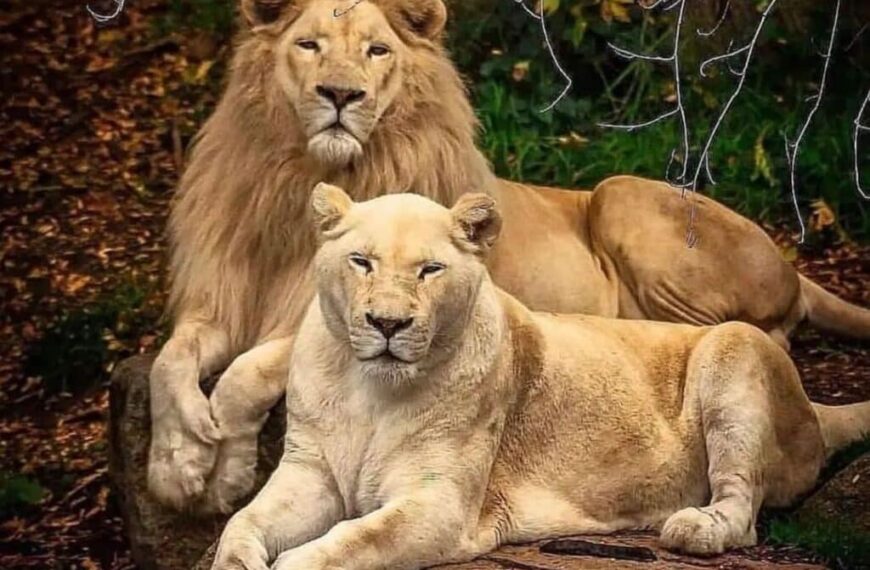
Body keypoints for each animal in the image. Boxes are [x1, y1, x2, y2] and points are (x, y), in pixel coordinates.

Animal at [148, 0, 870, 514]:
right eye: (309, 45)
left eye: (377, 50)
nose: (340, 95)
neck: (301, 178)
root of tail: (793, 264)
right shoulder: (222, 300)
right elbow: (168, 363)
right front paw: (176, 464)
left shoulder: (321, 318)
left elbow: (244, 375)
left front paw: (222, 470)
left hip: (620, 193)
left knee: (744, 336)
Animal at [209, 184, 870, 570]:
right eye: (361, 261)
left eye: (430, 270)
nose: (388, 324)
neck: (367, 389)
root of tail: (813, 409)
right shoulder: (310, 475)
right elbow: (240, 524)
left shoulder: (438, 506)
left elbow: (346, 544)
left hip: (734, 346)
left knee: (743, 508)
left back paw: (694, 528)